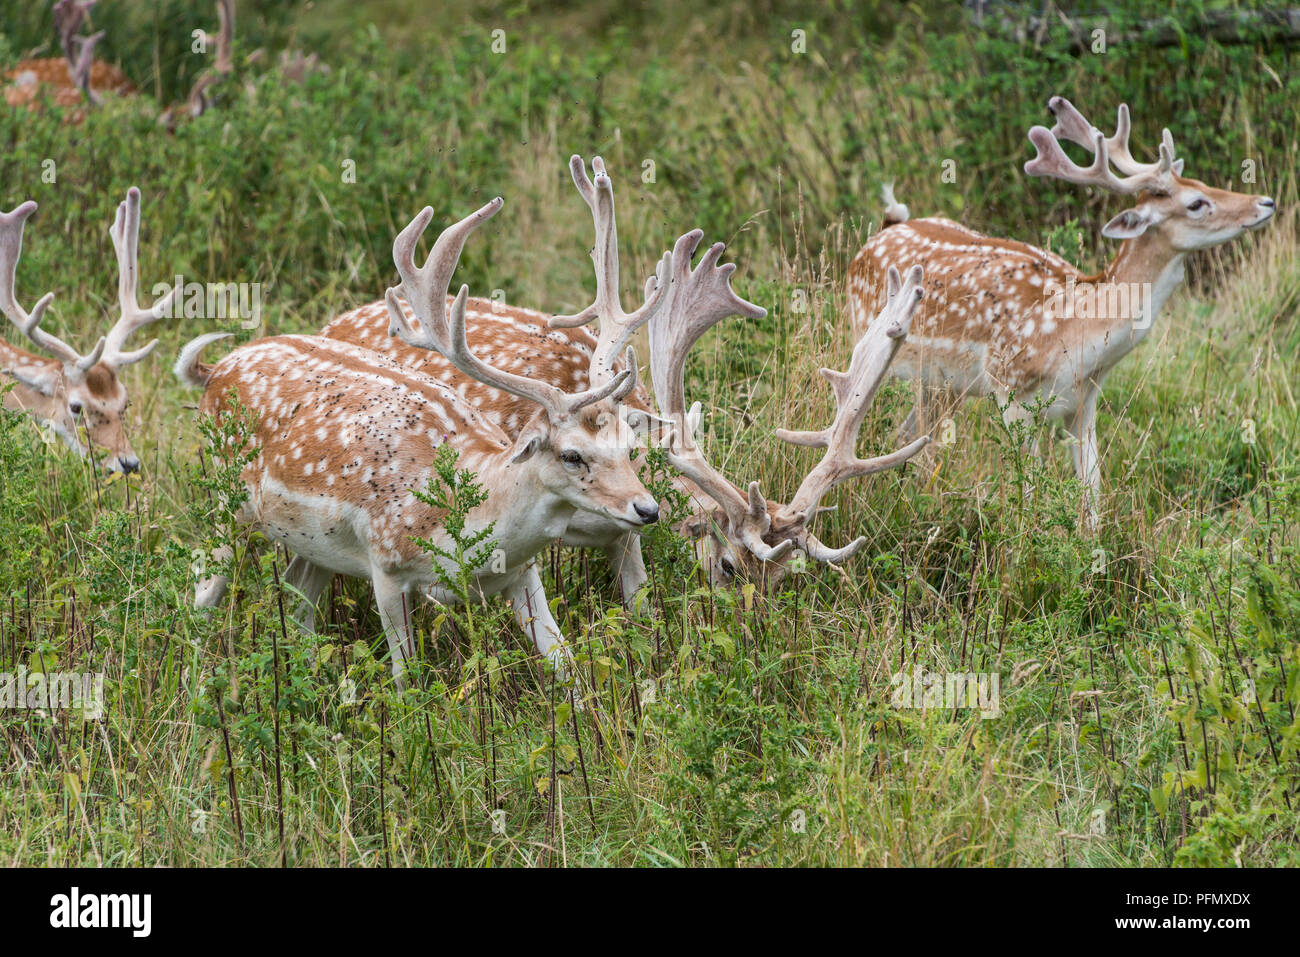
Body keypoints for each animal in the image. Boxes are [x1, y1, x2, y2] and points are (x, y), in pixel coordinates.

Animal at [175, 197, 661, 690]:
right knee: (202, 586)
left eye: (628, 445)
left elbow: (563, 661)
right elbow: (406, 678)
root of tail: (214, 371)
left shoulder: (524, 573)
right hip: (224, 501)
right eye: (572, 455)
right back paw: (197, 685)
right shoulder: (386, 563)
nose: (648, 509)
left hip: (312, 541)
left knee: (296, 595)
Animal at [847, 96, 1276, 527]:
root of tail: (880, 232)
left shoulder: (1085, 401)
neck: (1074, 332)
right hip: (867, 345)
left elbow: (1093, 488)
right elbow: (1030, 488)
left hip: (941, 385)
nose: (1266, 202)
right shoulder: (1009, 389)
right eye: (1196, 203)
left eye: (1202, 184)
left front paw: (1092, 541)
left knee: (910, 435)